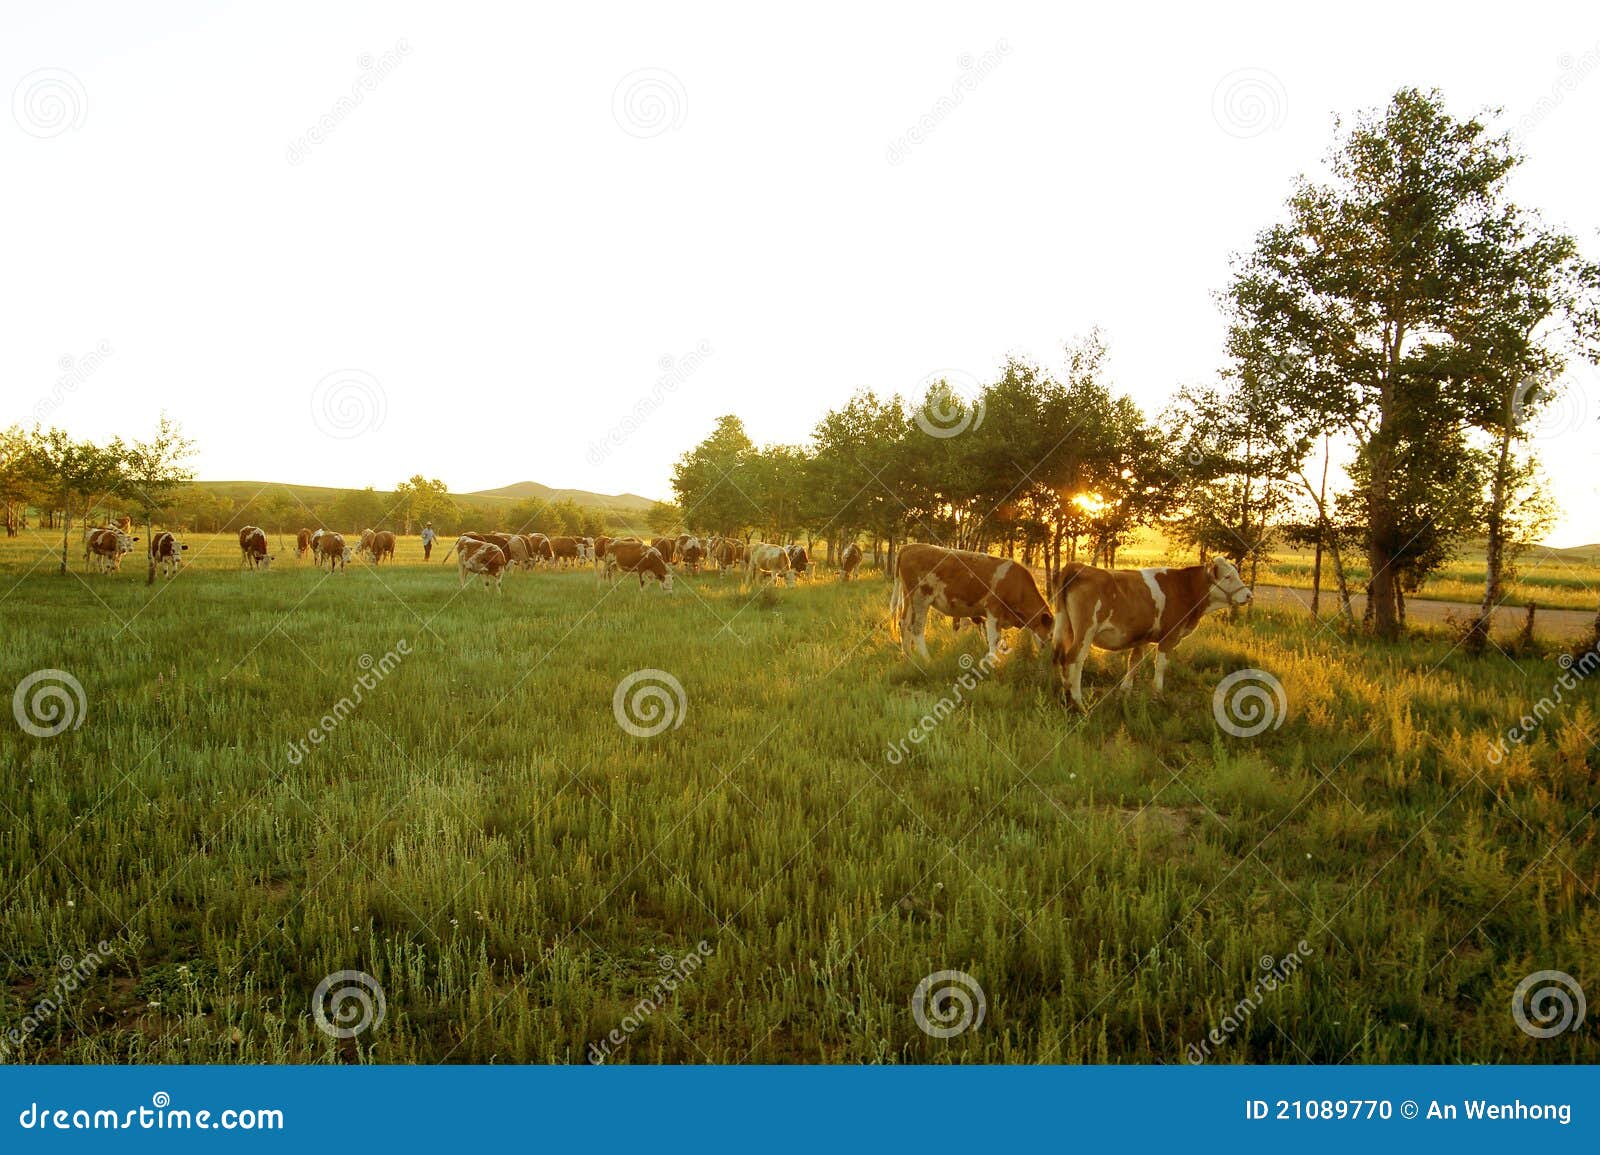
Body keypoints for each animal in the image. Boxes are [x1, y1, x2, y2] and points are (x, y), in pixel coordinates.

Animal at [892, 543, 1054, 665]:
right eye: (1052, 636)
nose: (1050, 660)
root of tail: (910, 547)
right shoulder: (993, 610)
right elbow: (994, 640)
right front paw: (990, 663)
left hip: (909, 598)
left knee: (904, 624)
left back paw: (908, 658)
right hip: (920, 598)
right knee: (916, 628)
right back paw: (927, 660)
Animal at [1050, 558, 1253, 711]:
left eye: (1237, 574)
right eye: (1228, 576)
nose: (1249, 595)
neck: (1185, 588)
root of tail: (1077, 566)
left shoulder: (1142, 637)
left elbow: (1134, 662)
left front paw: (1124, 692)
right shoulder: (1170, 636)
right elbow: (1161, 665)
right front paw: (1157, 695)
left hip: (1066, 627)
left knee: (1062, 658)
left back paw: (1066, 696)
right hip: (1085, 632)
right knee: (1074, 660)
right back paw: (1077, 702)